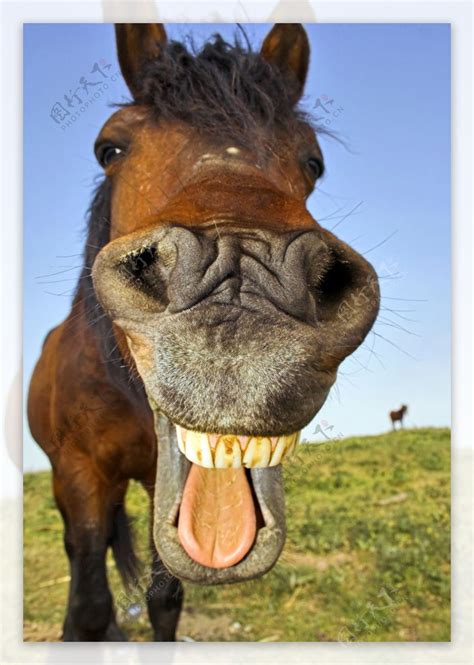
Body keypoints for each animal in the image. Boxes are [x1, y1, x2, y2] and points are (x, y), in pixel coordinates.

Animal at [27, 23, 380, 641]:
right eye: (108, 148)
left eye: (314, 161)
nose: (239, 301)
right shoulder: (78, 472)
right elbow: (88, 603)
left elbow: (165, 598)